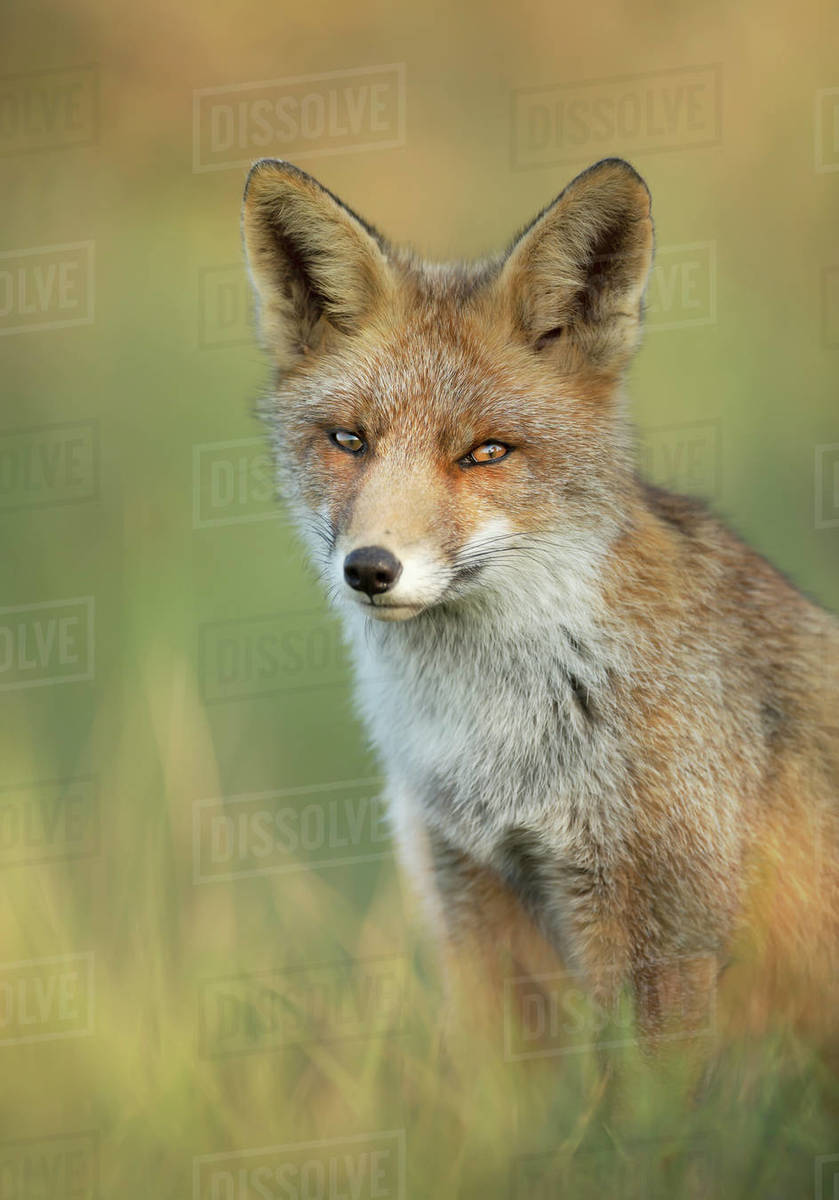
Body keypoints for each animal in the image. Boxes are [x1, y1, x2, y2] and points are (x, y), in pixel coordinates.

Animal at [241, 156, 839, 1040]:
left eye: (486, 453)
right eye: (350, 441)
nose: (370, 568)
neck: (492, 739)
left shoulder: (662, 928)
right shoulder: (472, 892)